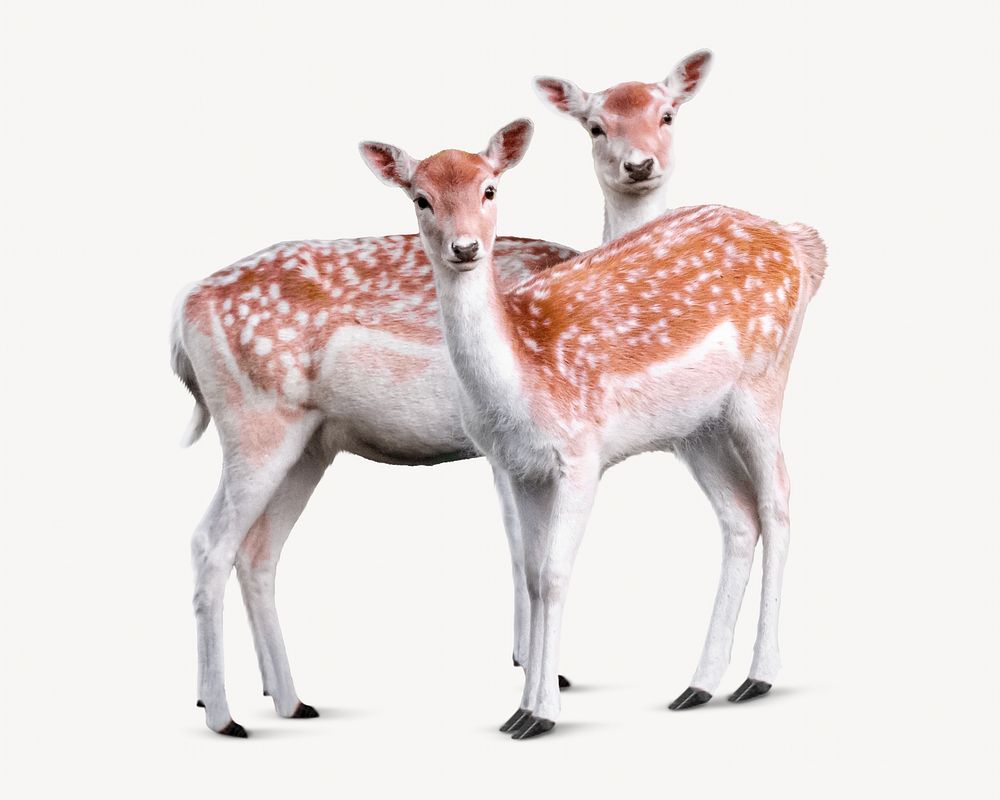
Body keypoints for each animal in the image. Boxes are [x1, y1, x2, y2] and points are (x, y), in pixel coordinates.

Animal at [360, 119, 826, 738]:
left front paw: (542, 715)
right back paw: (698, 685)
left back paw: (759, 676)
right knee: (739, 517)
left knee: (777, 501)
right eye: (421, 198)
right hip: (697, 427)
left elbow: (557, 574)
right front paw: (519, 710)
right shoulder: (518, 467)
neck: (522, 380)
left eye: (490, 189)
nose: (464, 248)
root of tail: (800, 245)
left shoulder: (581, 454)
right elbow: (533, 577)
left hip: (763, 380)